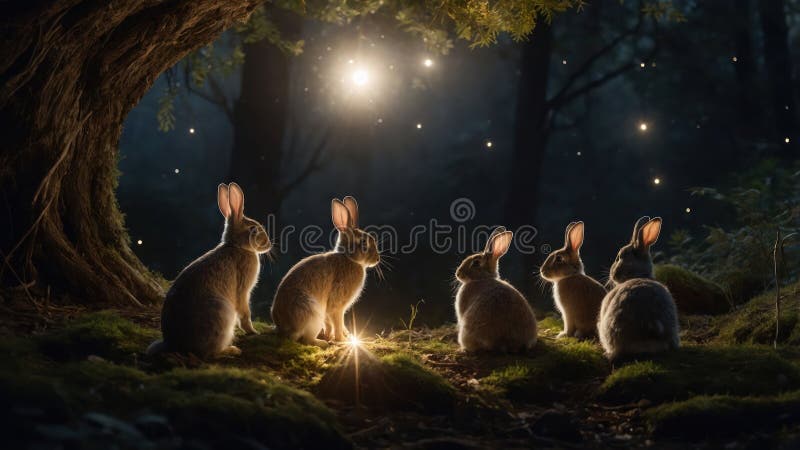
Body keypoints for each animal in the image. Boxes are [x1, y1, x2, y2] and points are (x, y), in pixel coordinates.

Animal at [147, 183, 272, 358]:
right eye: (254, 229)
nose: (269, 244)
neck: (236, 245)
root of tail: (174, 344)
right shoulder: (243, 290)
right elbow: (245, 313)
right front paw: (253, 331)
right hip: (222, 314)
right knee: (209, 352)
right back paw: (232, 350)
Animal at [271, 196, 379, 347]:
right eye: (364, 243)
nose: (377, 259)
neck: (348, 257)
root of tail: (284, 328)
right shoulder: (337, 307)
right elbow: (337, 323)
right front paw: (343, 340)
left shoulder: (329, 311)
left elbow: (331, 324)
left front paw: (337, 335)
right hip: (313, 315)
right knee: (306, 339)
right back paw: (323, 343)